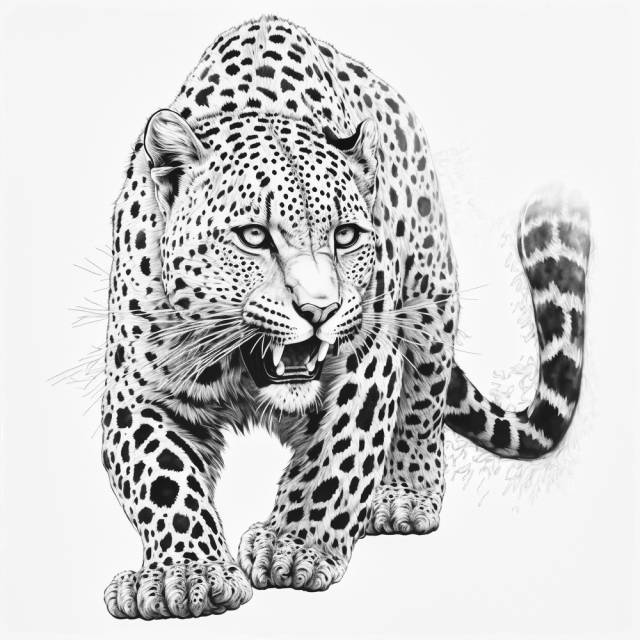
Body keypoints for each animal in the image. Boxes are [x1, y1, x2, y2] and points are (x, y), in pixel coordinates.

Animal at [101, 15, 591, 619]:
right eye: (254, 236)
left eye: (346, 235)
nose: (320, 310)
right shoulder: (138, 389)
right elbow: (163, 478)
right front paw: (186, 576)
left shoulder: (369, 359)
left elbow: (339, 455)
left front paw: (295, 548)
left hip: (429, 301)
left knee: (424, 401)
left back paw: (405, 496)